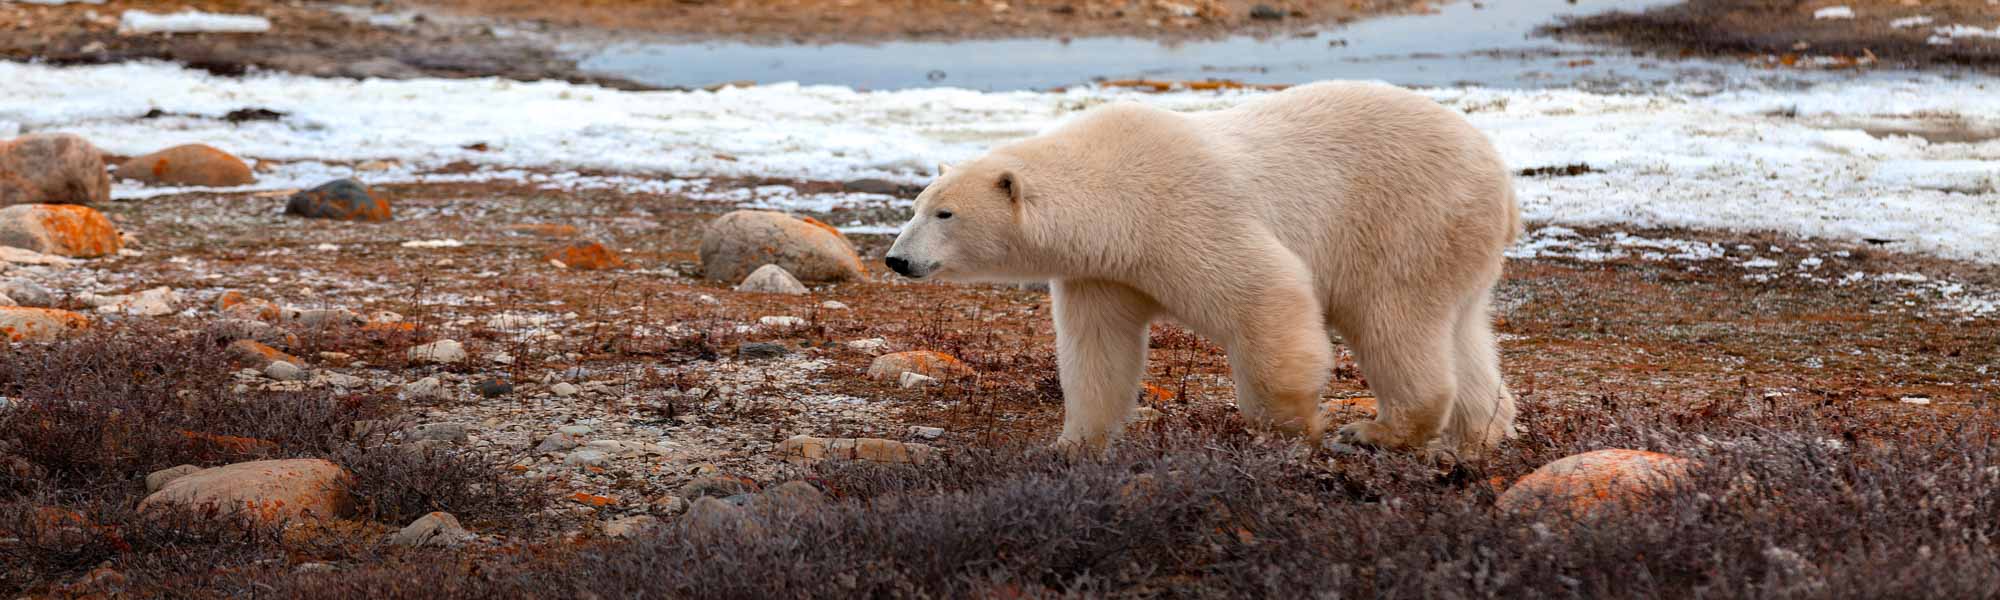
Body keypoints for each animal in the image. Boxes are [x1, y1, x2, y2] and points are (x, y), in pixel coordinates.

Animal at [884, 81, 1519, 456]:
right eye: (915, 206)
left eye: (945, 212)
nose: (897, 258)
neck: (1114, 197)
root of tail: (1500, 176)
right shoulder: (1105, 272)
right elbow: (1098, 350)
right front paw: (1072, 443)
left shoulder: (1184, 213)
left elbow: (1265, 294)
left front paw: (1294, 425)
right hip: (1457, 244)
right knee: (1462, 328)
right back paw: (1478, 434)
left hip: (1404, 221)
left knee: (1392, 318)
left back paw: (1376, 431)